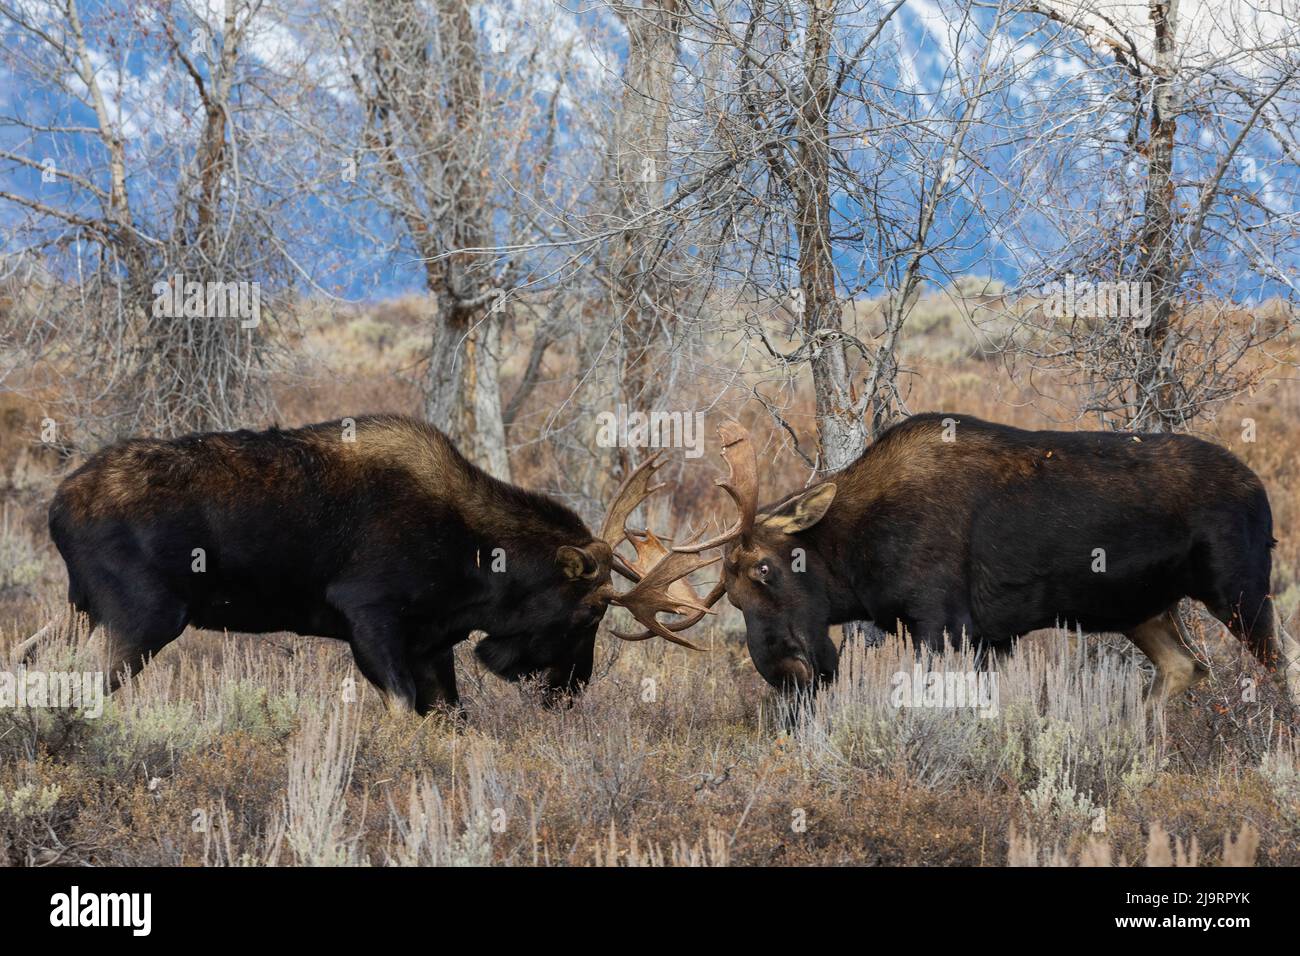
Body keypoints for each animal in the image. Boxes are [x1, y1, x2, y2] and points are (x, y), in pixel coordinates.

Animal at [14, 415, 715, 714]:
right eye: (590, 614)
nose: (571, 692)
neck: (480, 569)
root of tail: (56, 507)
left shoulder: (433, 642)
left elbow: (450, 715)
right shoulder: (368, 616)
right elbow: (404, 707)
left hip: (82, 608)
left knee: (25, 659)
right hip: (143, 618)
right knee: (69, 687)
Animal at [674, 415, 1300, 709]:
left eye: (766, 568)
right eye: (729, 598)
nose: (787, 672)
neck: (856, 558)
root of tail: (1261, 490)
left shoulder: (942, 624)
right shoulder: (990, 639)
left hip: (1239, 589)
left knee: (1284, 662)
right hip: (1142, 610)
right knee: (1185, 668)